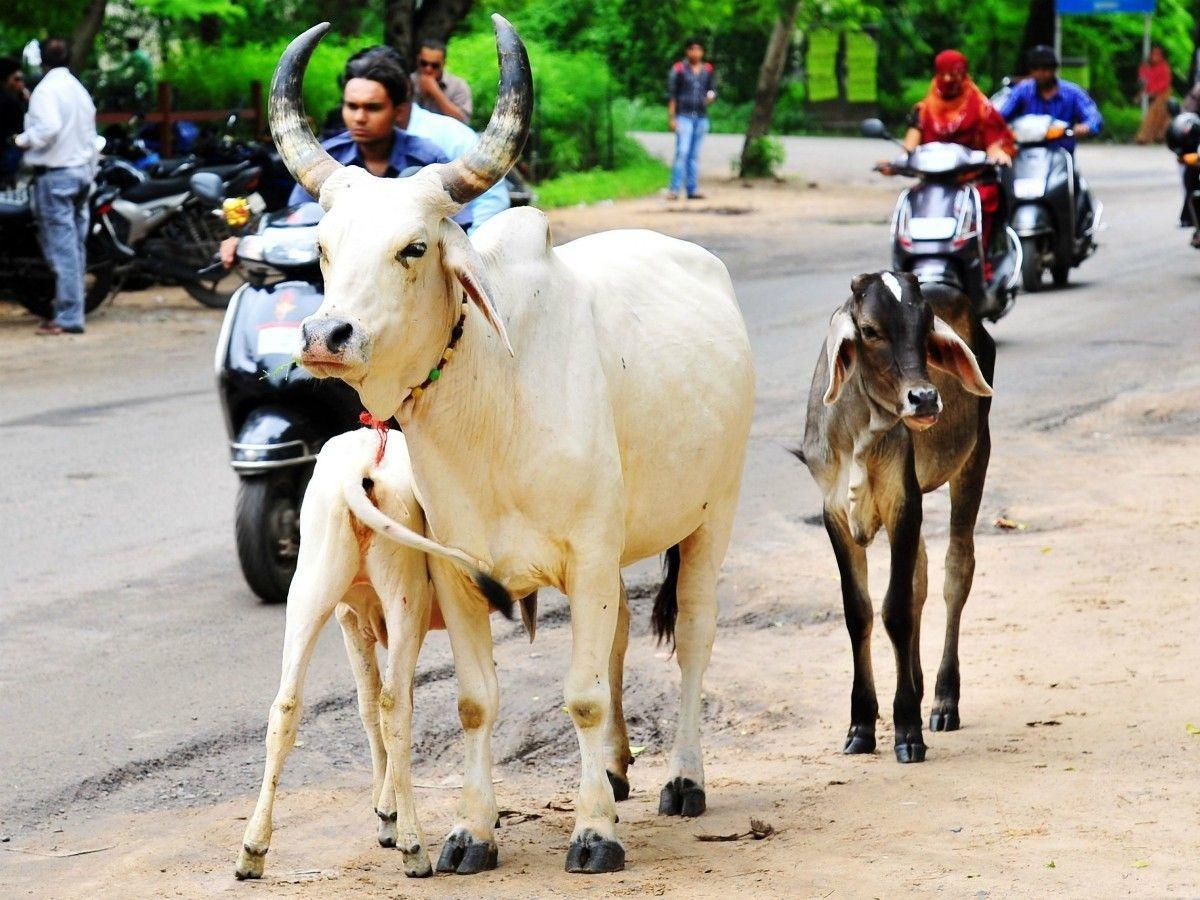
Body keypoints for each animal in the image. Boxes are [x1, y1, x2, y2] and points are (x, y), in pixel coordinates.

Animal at [235, 427, 558, 879]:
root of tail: (362, 470)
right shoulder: (417, 617)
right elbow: (399, 701)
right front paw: (394, 815)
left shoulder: (351, 621)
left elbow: (368, 706)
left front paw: (385, 813)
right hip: (407, 601)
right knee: (394, 707)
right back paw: (413, 848)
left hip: (309, 594)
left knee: (288, 706)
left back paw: (253, 849)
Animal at [265, 16, 755, 875]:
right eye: (321, 246)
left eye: (415, 248)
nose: (326, 335)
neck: (493, 412)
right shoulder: (464, 570)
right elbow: (473, 701)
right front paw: (472, 832)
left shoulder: (589, 553)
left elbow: (581, 695)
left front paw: (593, 833)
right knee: (619, 640)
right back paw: (618, 771)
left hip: (711, 515)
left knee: (694, 632)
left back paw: (682, 779)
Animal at [798, 271, 994, 763]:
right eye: (870, 330)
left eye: (925, 326)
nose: (924, 399)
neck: (858, 429)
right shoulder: (834, 514)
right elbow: (860, 612)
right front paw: (861, 725)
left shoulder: (903, 504)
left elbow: (897, 609)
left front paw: (907, 727)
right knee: (921, 577)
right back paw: (921, 686)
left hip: (974, 458)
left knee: (955, 573)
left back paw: (942, 699)